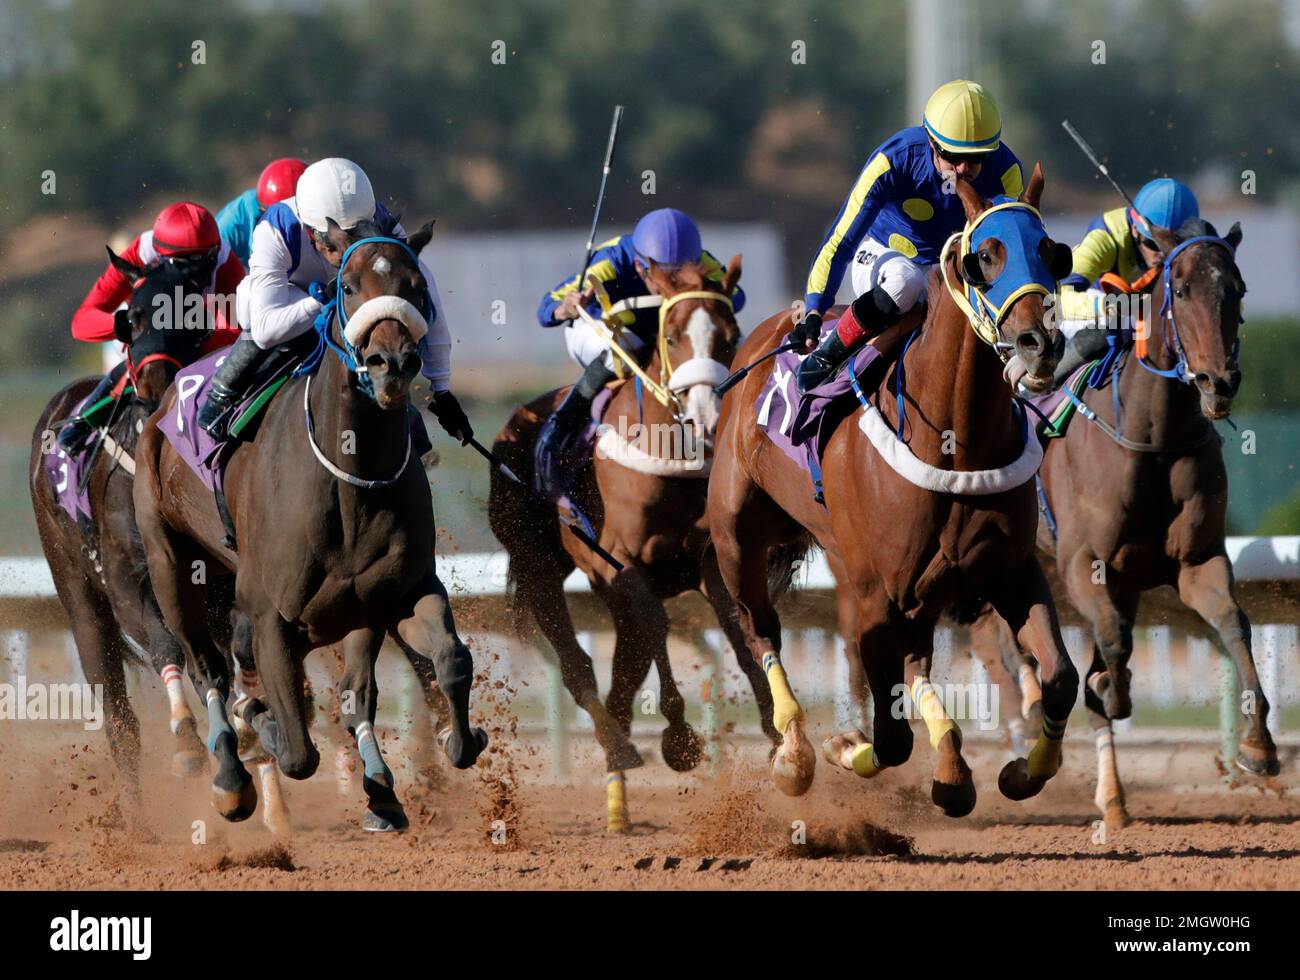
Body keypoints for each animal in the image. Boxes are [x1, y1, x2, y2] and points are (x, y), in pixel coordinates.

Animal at [27, 252, 292, 827]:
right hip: (79, 599)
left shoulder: (228, 587)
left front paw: (253, 754)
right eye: (132, 316)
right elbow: (169, 646)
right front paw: (190, 744)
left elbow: (238, 660)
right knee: (118, 715)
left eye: (194, 313)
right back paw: (138, 818)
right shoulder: (131, 584)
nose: (156, 377)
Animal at [133, 224, 487, 832]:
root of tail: (161, 406)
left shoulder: (399, 594)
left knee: (347, 690)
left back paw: (380, 790)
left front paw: (457, 741)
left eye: (418, 285)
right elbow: (297, 751)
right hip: (171, 563)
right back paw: (231, 777)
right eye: (347, 285)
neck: (350, 481)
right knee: (208, 670)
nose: (392, 363)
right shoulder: (272, 617)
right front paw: (258, 726)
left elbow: (449, 661)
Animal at [488, 256, 781, 831]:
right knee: (580, 660)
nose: (707, 418)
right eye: (671, 335)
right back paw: (619, 749)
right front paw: (676, 736)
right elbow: (654, 627)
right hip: (537, 566)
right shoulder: (618, 562)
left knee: (628, 660)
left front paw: (776, 728)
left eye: (731, 335)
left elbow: (736, 631)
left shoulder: (707, 559)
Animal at [707, 166, 1081, 815]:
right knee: (760, 632)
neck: (955, 441)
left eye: (1051, 252)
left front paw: (1019, 773)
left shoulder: (1009, 572)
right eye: (986, 255)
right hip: (739, 540)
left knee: (916, 664)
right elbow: (892, 736)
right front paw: (846, 748)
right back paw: (795, 754)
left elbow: (1059, 677)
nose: (1041, 344)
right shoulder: (877, 596)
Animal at [965, 216, 1274, 829]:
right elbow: (1108, 644)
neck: (1154, 438)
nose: (1218, 383)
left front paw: (1258, 747)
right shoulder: (1083, 563)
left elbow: (1234, 625)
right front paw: (1109, 689)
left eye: (1237, 289)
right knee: (1002, 644)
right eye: (1181, 289)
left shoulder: (1197, 562)